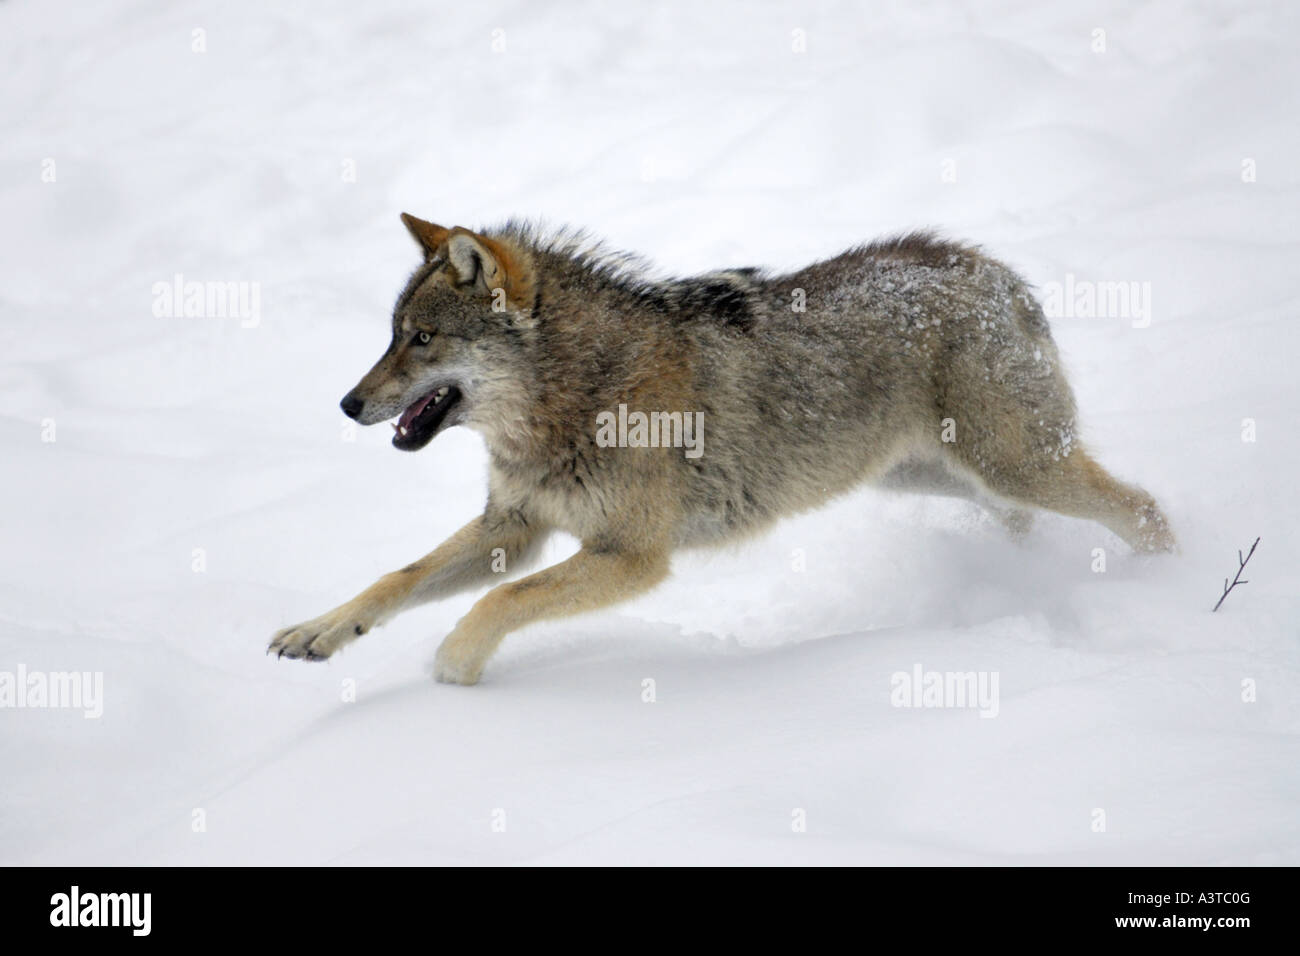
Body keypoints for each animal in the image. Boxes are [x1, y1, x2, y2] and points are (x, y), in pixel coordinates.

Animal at [269, 214, 1174, 684]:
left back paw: (1168, 583)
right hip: (939, 480)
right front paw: (318, 633)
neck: (575, 394)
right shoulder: (513, 527)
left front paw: (453, 671)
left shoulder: (631, 558)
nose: (349, 404)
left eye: (420, 340)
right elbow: (396, 579)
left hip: (1017, 466)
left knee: (1144, 508)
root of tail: (991, 270)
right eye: (390, 336)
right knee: (1028, 525)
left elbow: (494, 605)